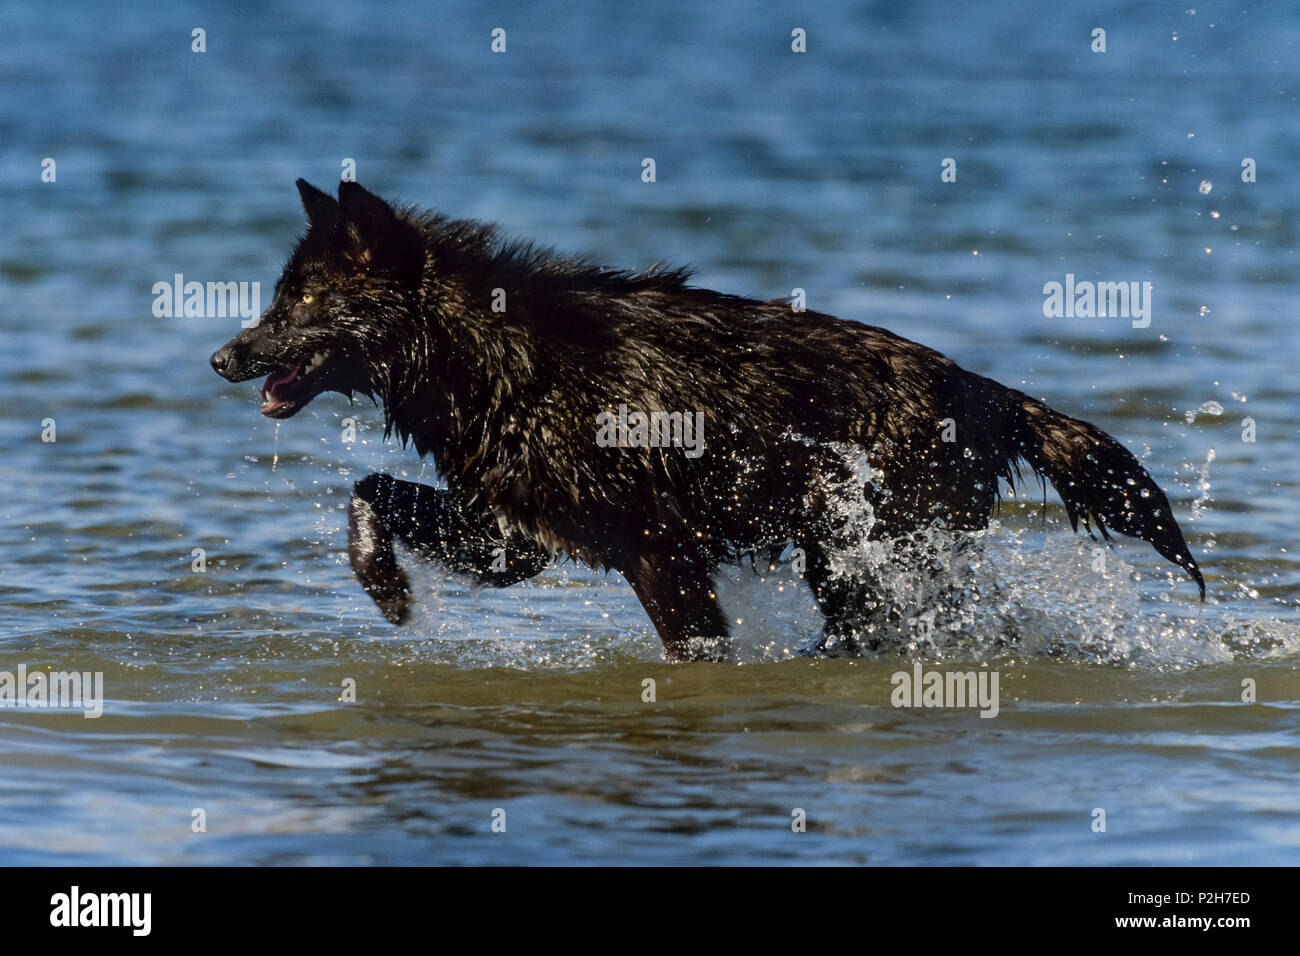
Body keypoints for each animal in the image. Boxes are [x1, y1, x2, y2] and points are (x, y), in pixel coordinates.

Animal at [210, 179, 1196, 660]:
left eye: (302, 303)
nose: (222, 357)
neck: (482, 351)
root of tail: (979, 388)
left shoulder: (658, 548)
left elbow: (696, 646)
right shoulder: (515, 539)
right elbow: (366, 493)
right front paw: (387, 587)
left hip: (860, 555)